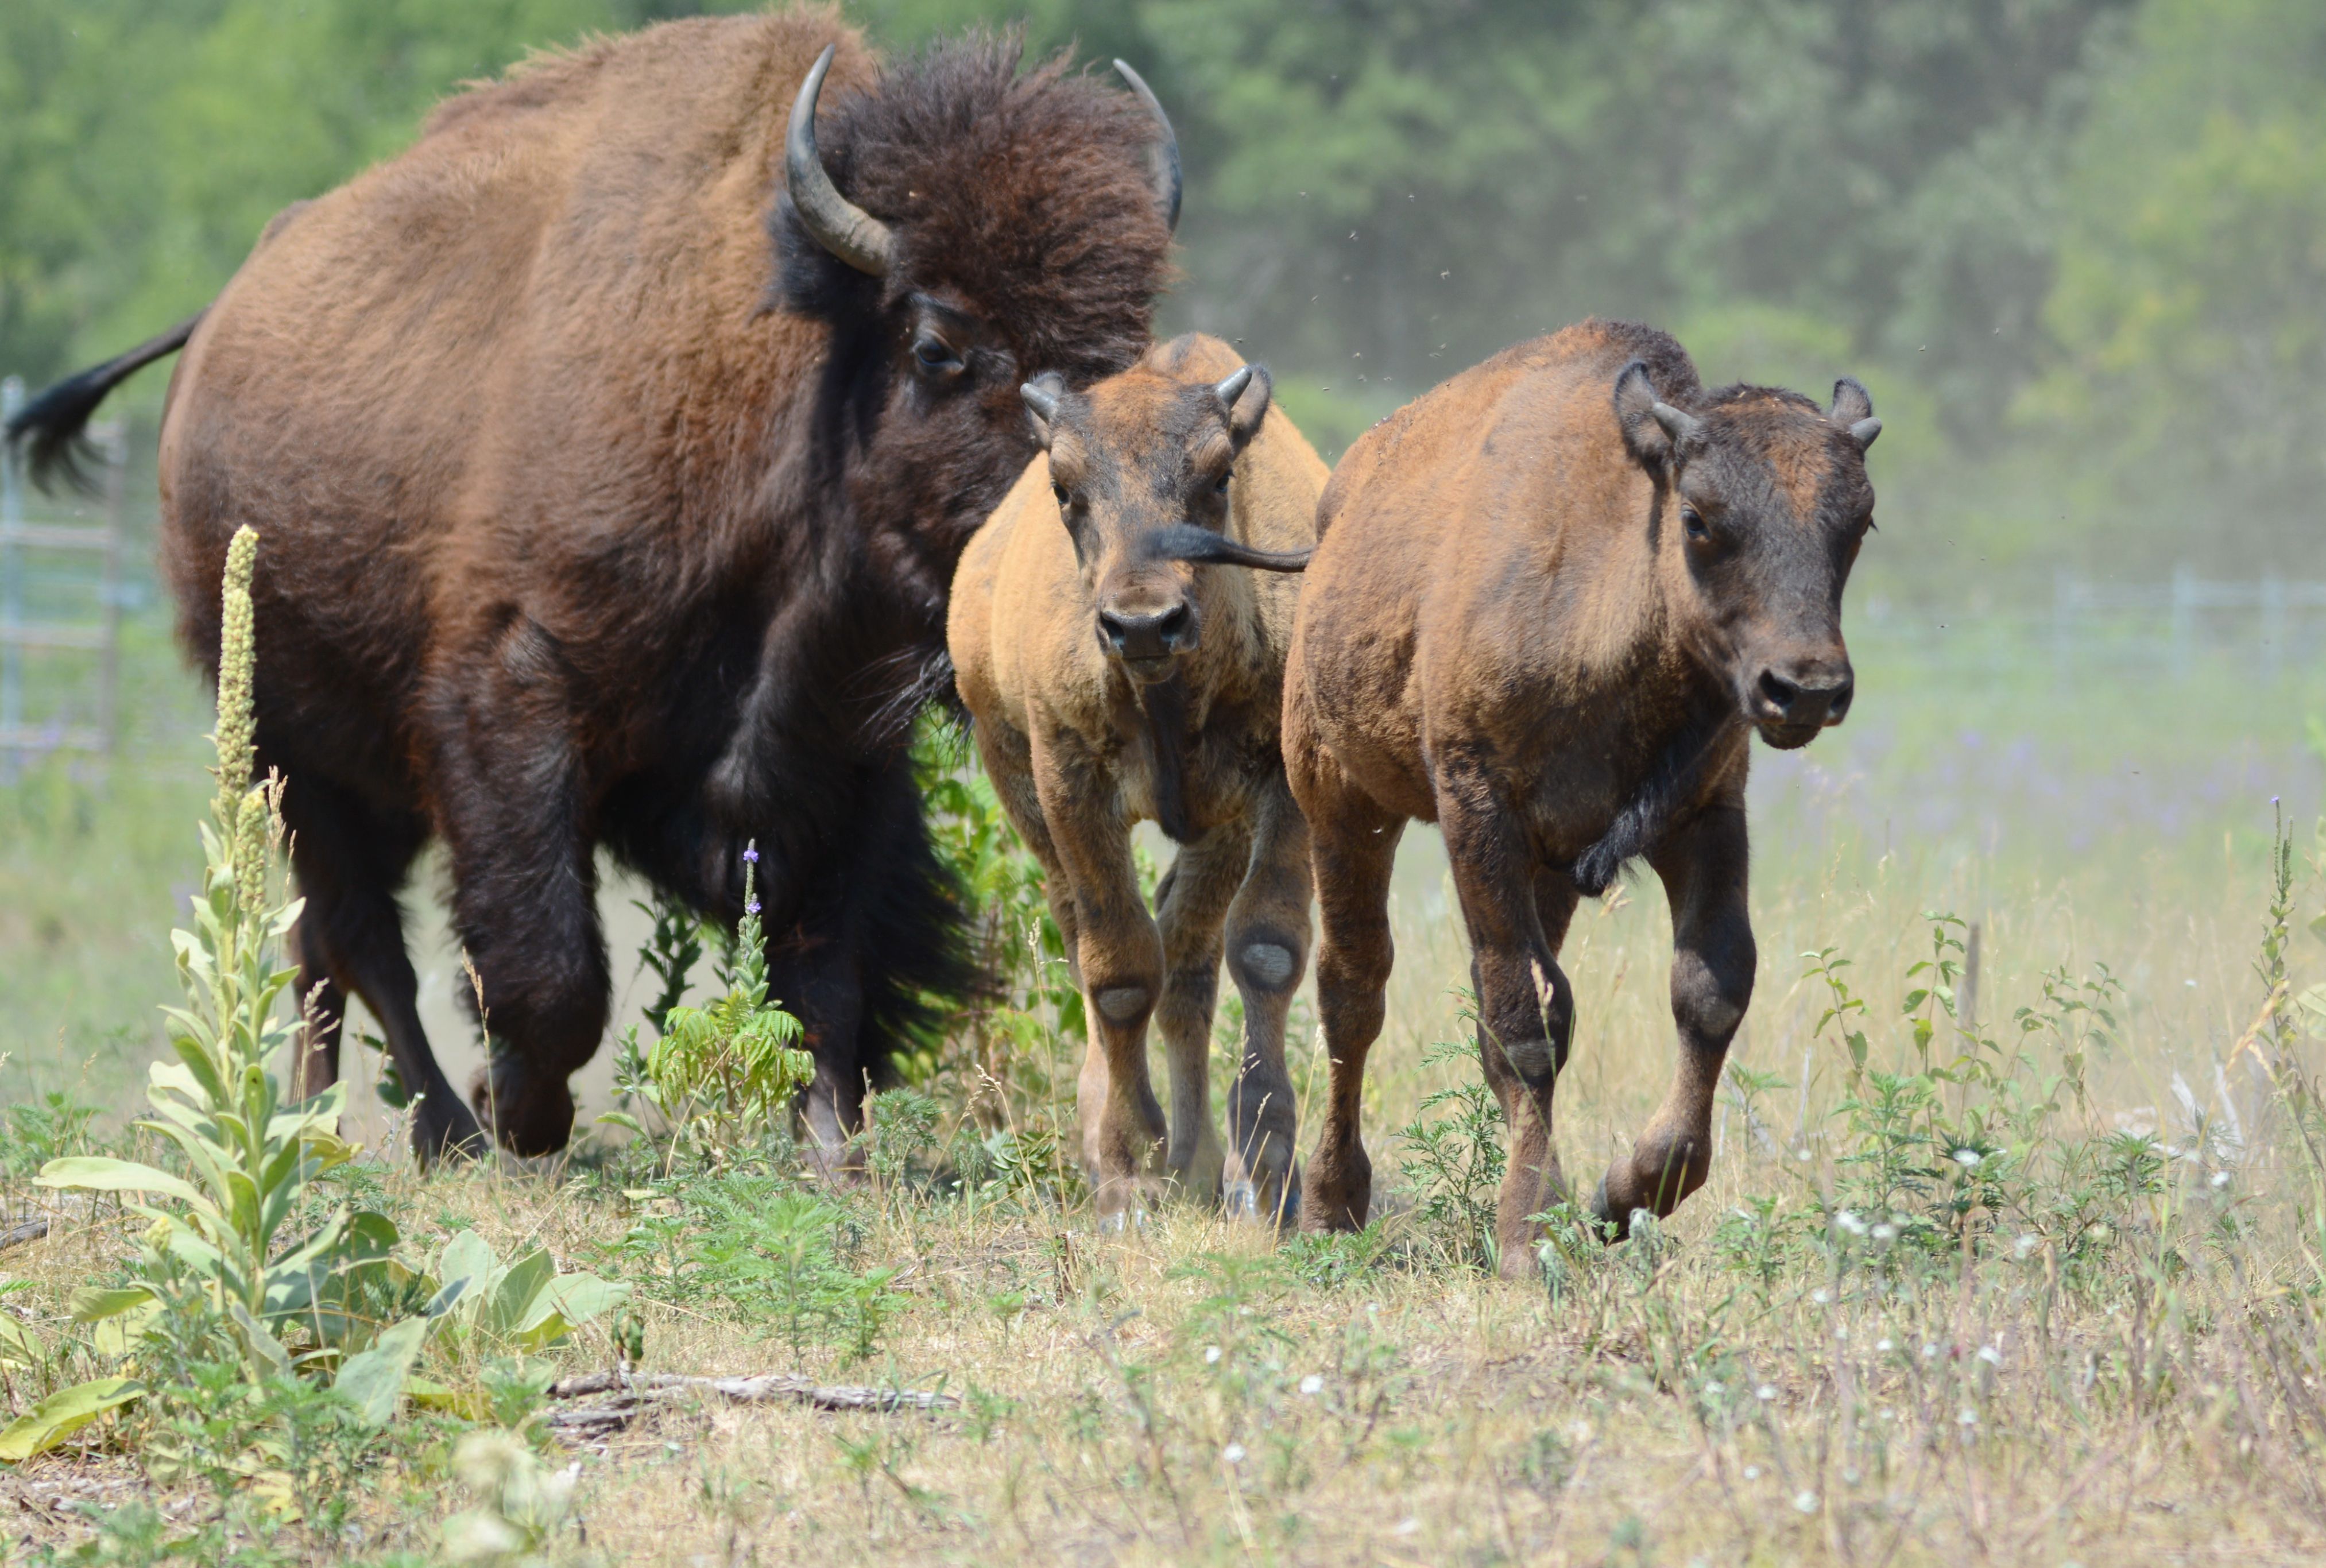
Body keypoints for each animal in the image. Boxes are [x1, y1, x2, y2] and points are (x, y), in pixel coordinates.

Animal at [6, 11, 1182, 1163]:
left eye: (1129, 348)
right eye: (939, 345)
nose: (1088, 592)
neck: (788, 389)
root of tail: (217, 322)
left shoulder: (839, 761)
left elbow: (825, 968)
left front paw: (830, 1147)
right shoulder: (511, 699)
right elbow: (555, 969)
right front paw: (517, 1110)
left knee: (318, 948)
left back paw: (317, 1117)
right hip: (286, 747)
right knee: (359, 939)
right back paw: (434, 1126)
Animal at [948, 334, 1322, 1223]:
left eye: (1219, 475)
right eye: (1064, 488)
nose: (1144, 623)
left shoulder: (1276, 793)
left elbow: (1263, 948)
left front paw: (1264, 1171)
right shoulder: (1068, 784)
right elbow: (1117, 970)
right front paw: (1125, 1173)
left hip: (1217, 826)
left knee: (1187, 957)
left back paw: (1199, 1159)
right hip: (1017, 780)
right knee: (1099, 936)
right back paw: (1121, 1149)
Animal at [1283, 320, 1881, 1274]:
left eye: (1857, 521)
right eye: (1698, 518)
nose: (1804, 687)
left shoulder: (1701, 817)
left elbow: (1709, 987)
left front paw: (1618, 1196)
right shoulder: (1476, 813)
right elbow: (1525, 1019)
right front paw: (1530, 1231)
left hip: (1546, 868)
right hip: (1339, 801)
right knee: (1352, 991)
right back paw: (1332, 1204)